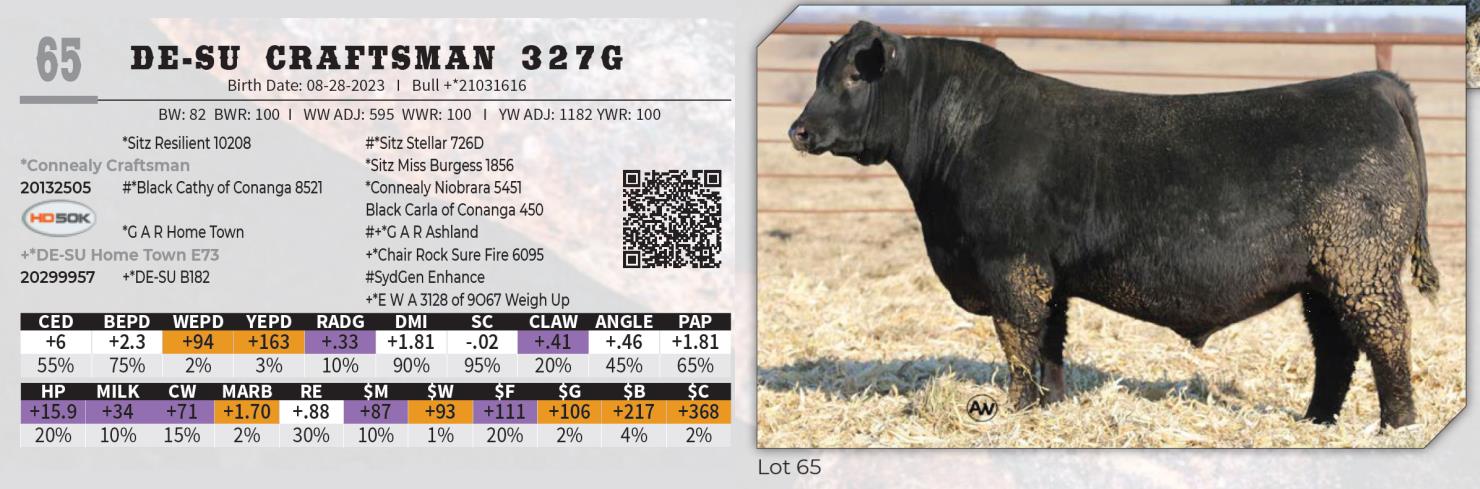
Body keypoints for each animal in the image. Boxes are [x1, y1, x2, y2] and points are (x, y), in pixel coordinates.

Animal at [787, 21, 1440, 428]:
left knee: (1386, 336)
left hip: (1360, 267)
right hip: (1323, 276)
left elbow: (1019, 339)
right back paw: (1317, 419)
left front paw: (1017, 407)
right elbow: (1050, 340)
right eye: (822, 73)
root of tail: (1373, 84)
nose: (798, 130)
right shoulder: (1047, 271)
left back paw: (1397, 424)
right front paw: (1048, 407)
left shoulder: (1010, 265)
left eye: (852, 76)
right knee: (1335, 346)